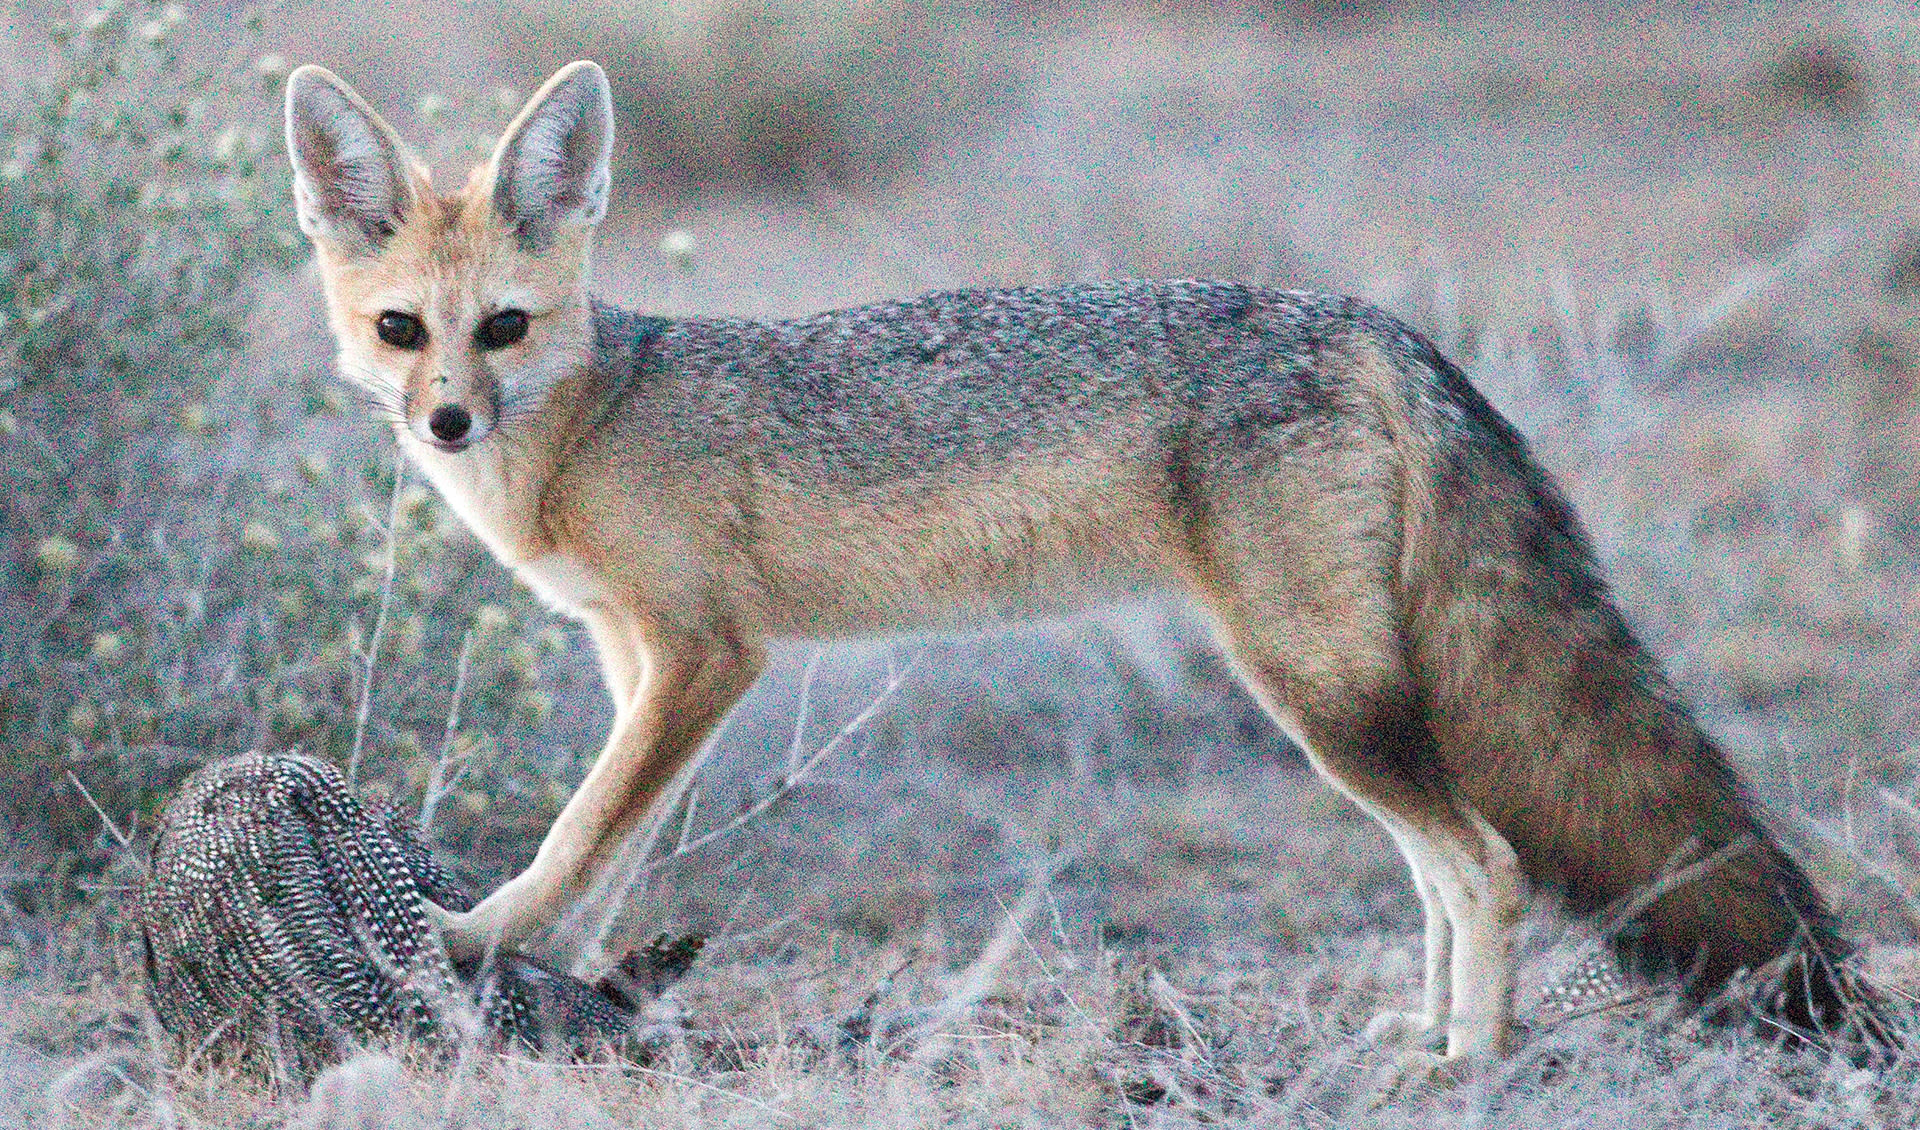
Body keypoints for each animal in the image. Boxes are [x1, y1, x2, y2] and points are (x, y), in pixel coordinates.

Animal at [283, 59, 1888, 1064]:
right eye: (401, 330)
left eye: (501, 327)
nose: (442, 419)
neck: (591, 419)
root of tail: (1371, 320)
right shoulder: (640, 663)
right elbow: (621, 843)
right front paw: (575, 975)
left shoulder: (704, 656)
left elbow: (574, 831)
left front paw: (478, 935)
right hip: (1345, 702)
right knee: (1445, 868)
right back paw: (1432, 1031)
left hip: (1315, 694)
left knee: (1484, 862)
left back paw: (1470, 1064)